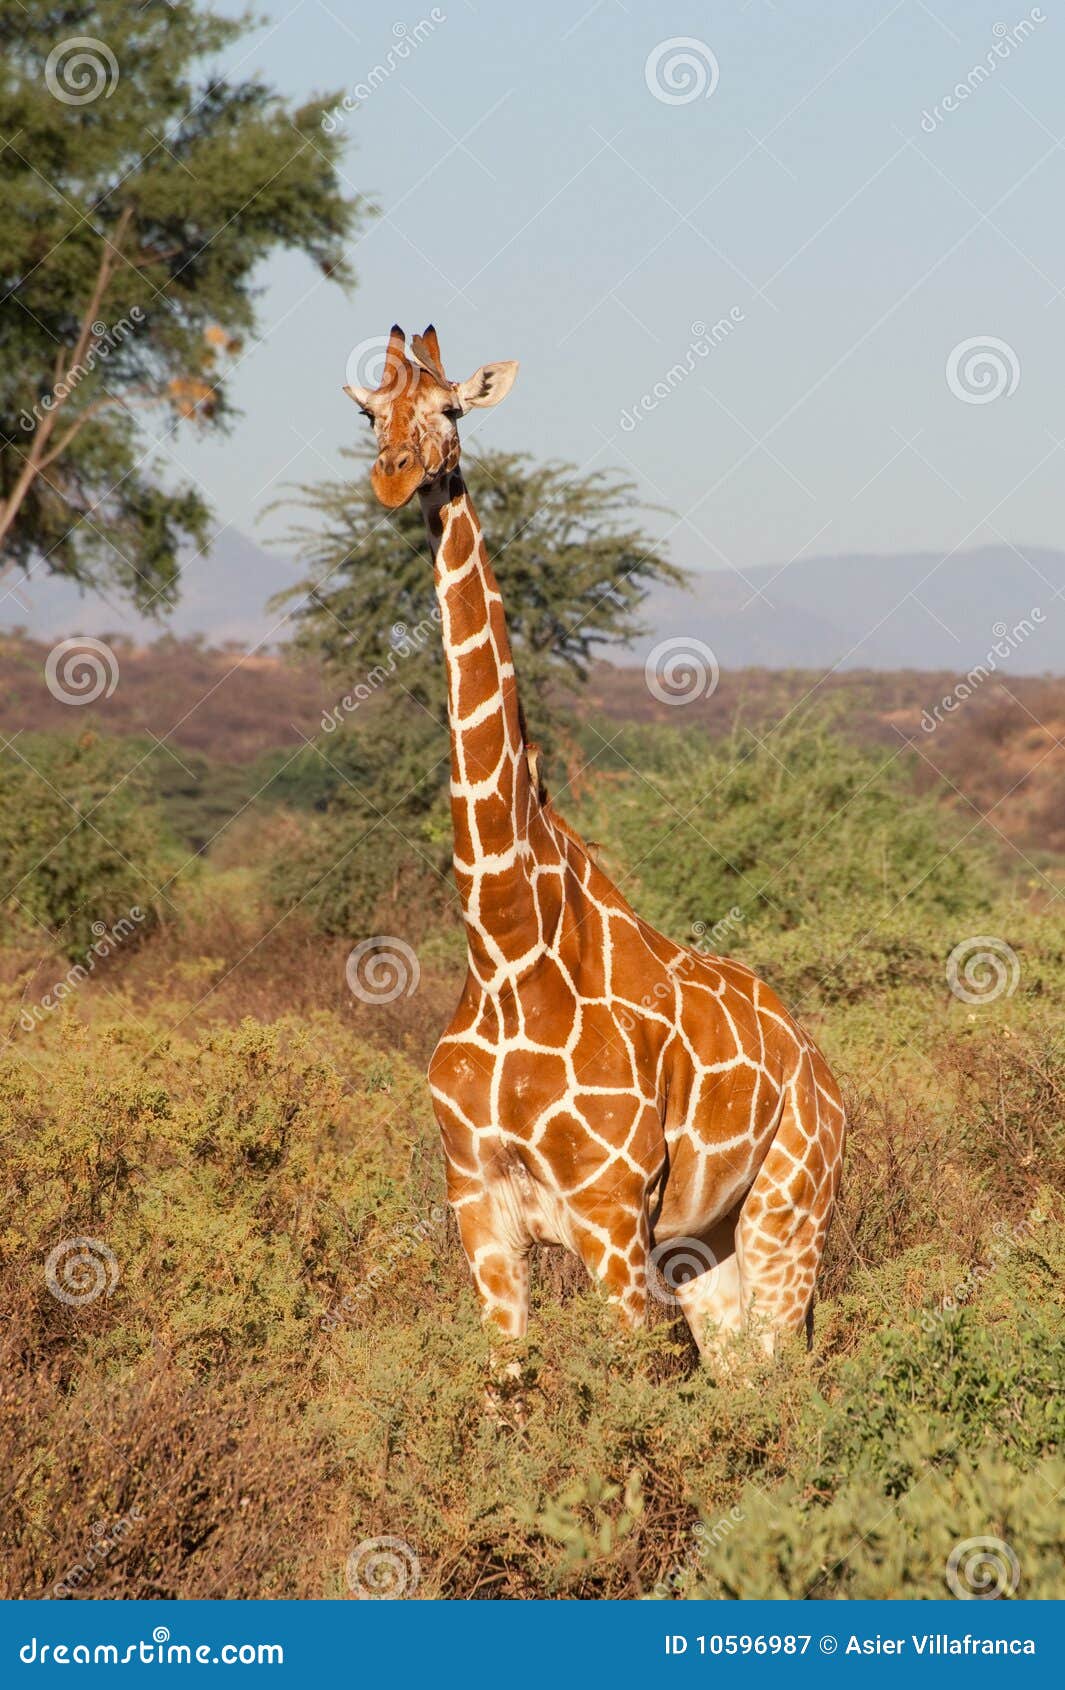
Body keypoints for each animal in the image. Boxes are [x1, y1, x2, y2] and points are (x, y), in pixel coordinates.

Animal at [344, 324, 846, 1364]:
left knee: (791, 1377)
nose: (395, 475)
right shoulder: (479, 1211)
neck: (504, 947)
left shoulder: (611, 1215)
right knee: (739, 1378)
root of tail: (823, 1073)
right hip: (707, 1245)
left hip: (788, 1213)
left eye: (449, 408)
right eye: (369, 412)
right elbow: (506, 1389)